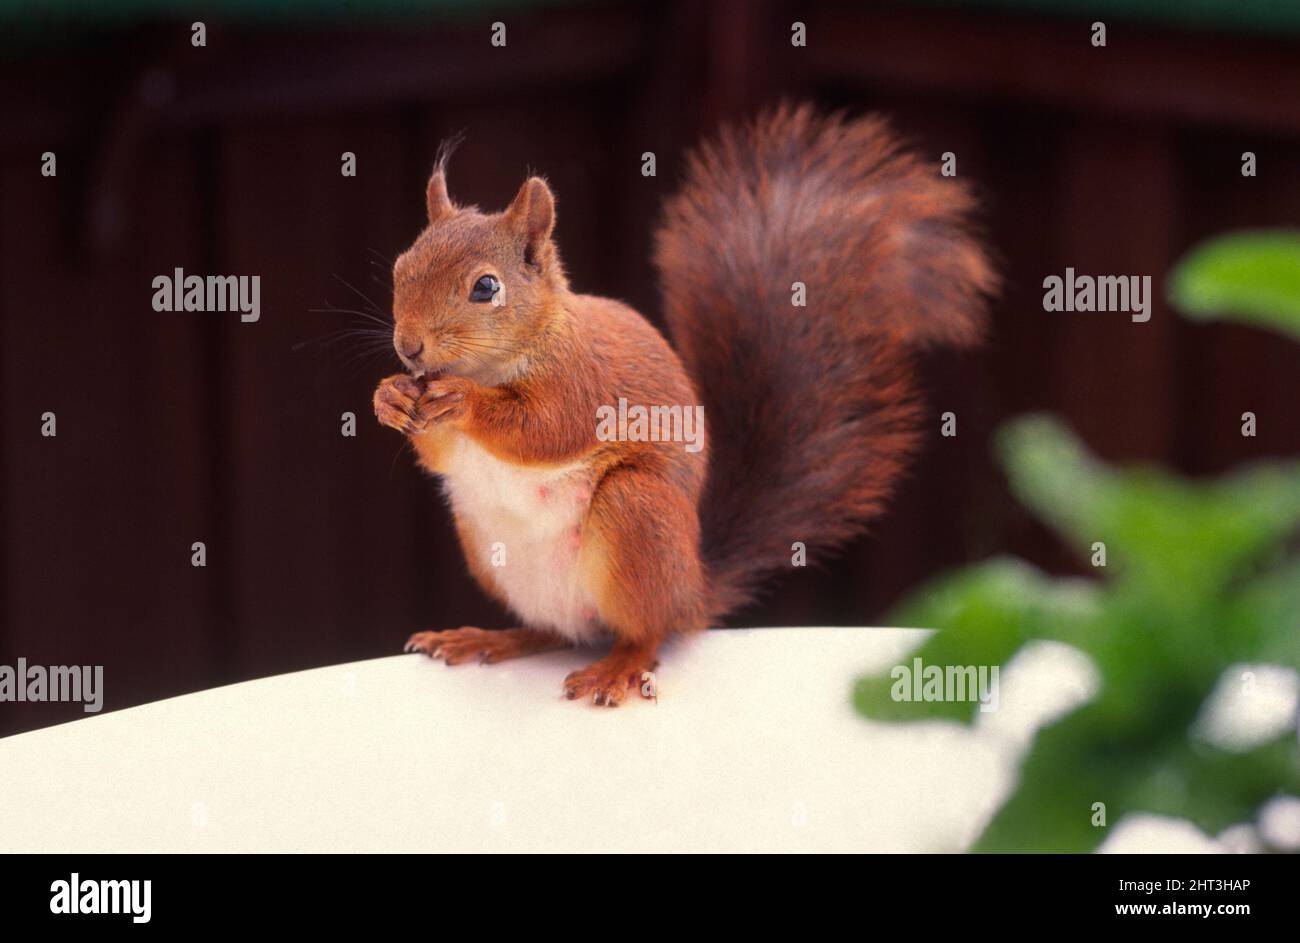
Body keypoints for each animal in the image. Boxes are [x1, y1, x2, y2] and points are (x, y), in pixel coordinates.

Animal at [374, 103, 994, 706]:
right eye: (400, 267)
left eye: (486, 288)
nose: (409, 347)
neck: (500, 360)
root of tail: (694, 590)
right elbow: (443, 455)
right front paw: (391, 397)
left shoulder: (582, 382)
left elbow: (545, 429)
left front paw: (463, 401)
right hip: (489, 549)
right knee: (552, 631)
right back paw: (487, 638)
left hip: (636, 516)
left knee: (645, 632)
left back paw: (618, 668)